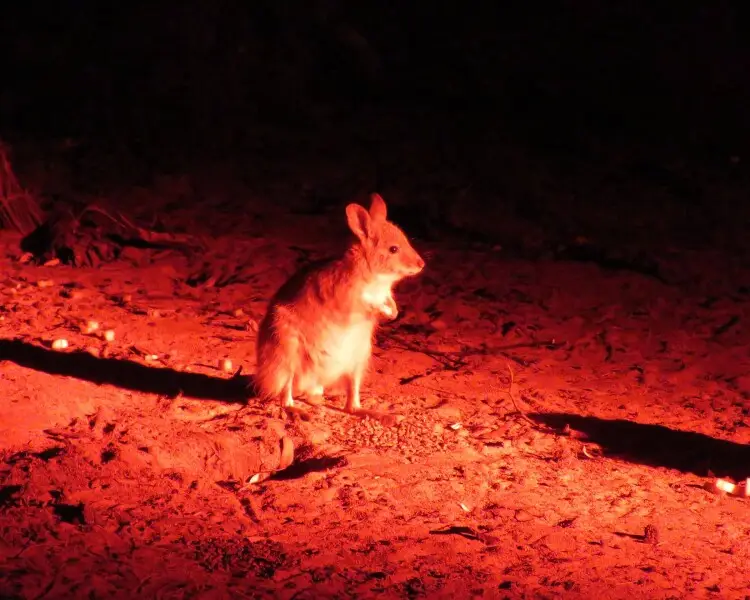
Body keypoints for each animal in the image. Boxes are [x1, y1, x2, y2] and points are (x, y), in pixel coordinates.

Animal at [255, 192, 425, 414]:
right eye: (393, 249)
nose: (421, 264)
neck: (375, 276)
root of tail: (312, 383)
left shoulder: (384, 293)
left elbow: (388, 302)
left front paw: (393, 313)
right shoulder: (349, 298)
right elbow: (366, 305)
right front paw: (385, 312)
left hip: (358, 358)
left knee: (350, 400)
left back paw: (366, 411)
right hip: (286, 352)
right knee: (286, 390)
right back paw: (295, 409)